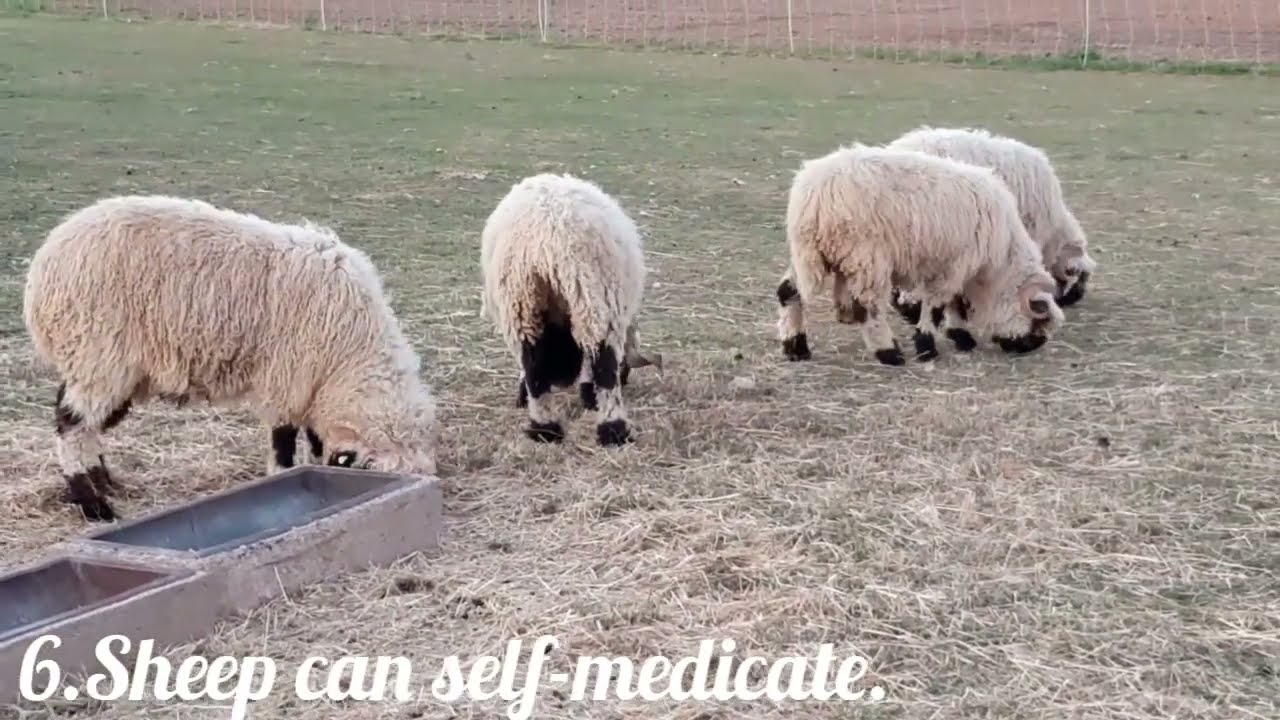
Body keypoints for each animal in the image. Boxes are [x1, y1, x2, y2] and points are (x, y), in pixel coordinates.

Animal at [23, 194, 439, 522]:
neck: (348, 359)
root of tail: (45, 264)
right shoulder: (288, 376)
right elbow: (283, 439)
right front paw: (281, 475)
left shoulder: (310, 385)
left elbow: (314, 437)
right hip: (100, 353)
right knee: (71, 425)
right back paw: (94, 506)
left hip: (96, 363)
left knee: (82, 420)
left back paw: (106, 483)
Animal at [480, 172, 661, 446]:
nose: (627, 377)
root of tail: (547, 238)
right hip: (593, 297)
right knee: (603, 366)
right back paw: (613, 429)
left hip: (523, 303)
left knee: (534, 368)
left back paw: (545, 429)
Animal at [775, 143, 1065, 365]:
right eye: (1038, 321)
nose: (1031, 347)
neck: (999, 264)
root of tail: (814, 196)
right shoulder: (954, 265)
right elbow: (936, 306)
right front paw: (928, 345)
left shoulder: (956, 267)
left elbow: (953, 302)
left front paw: (959, 336)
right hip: (865, 257)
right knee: (869, 308)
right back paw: (889, 353)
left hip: (808, 254)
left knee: (788, 291)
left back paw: (795, 347)